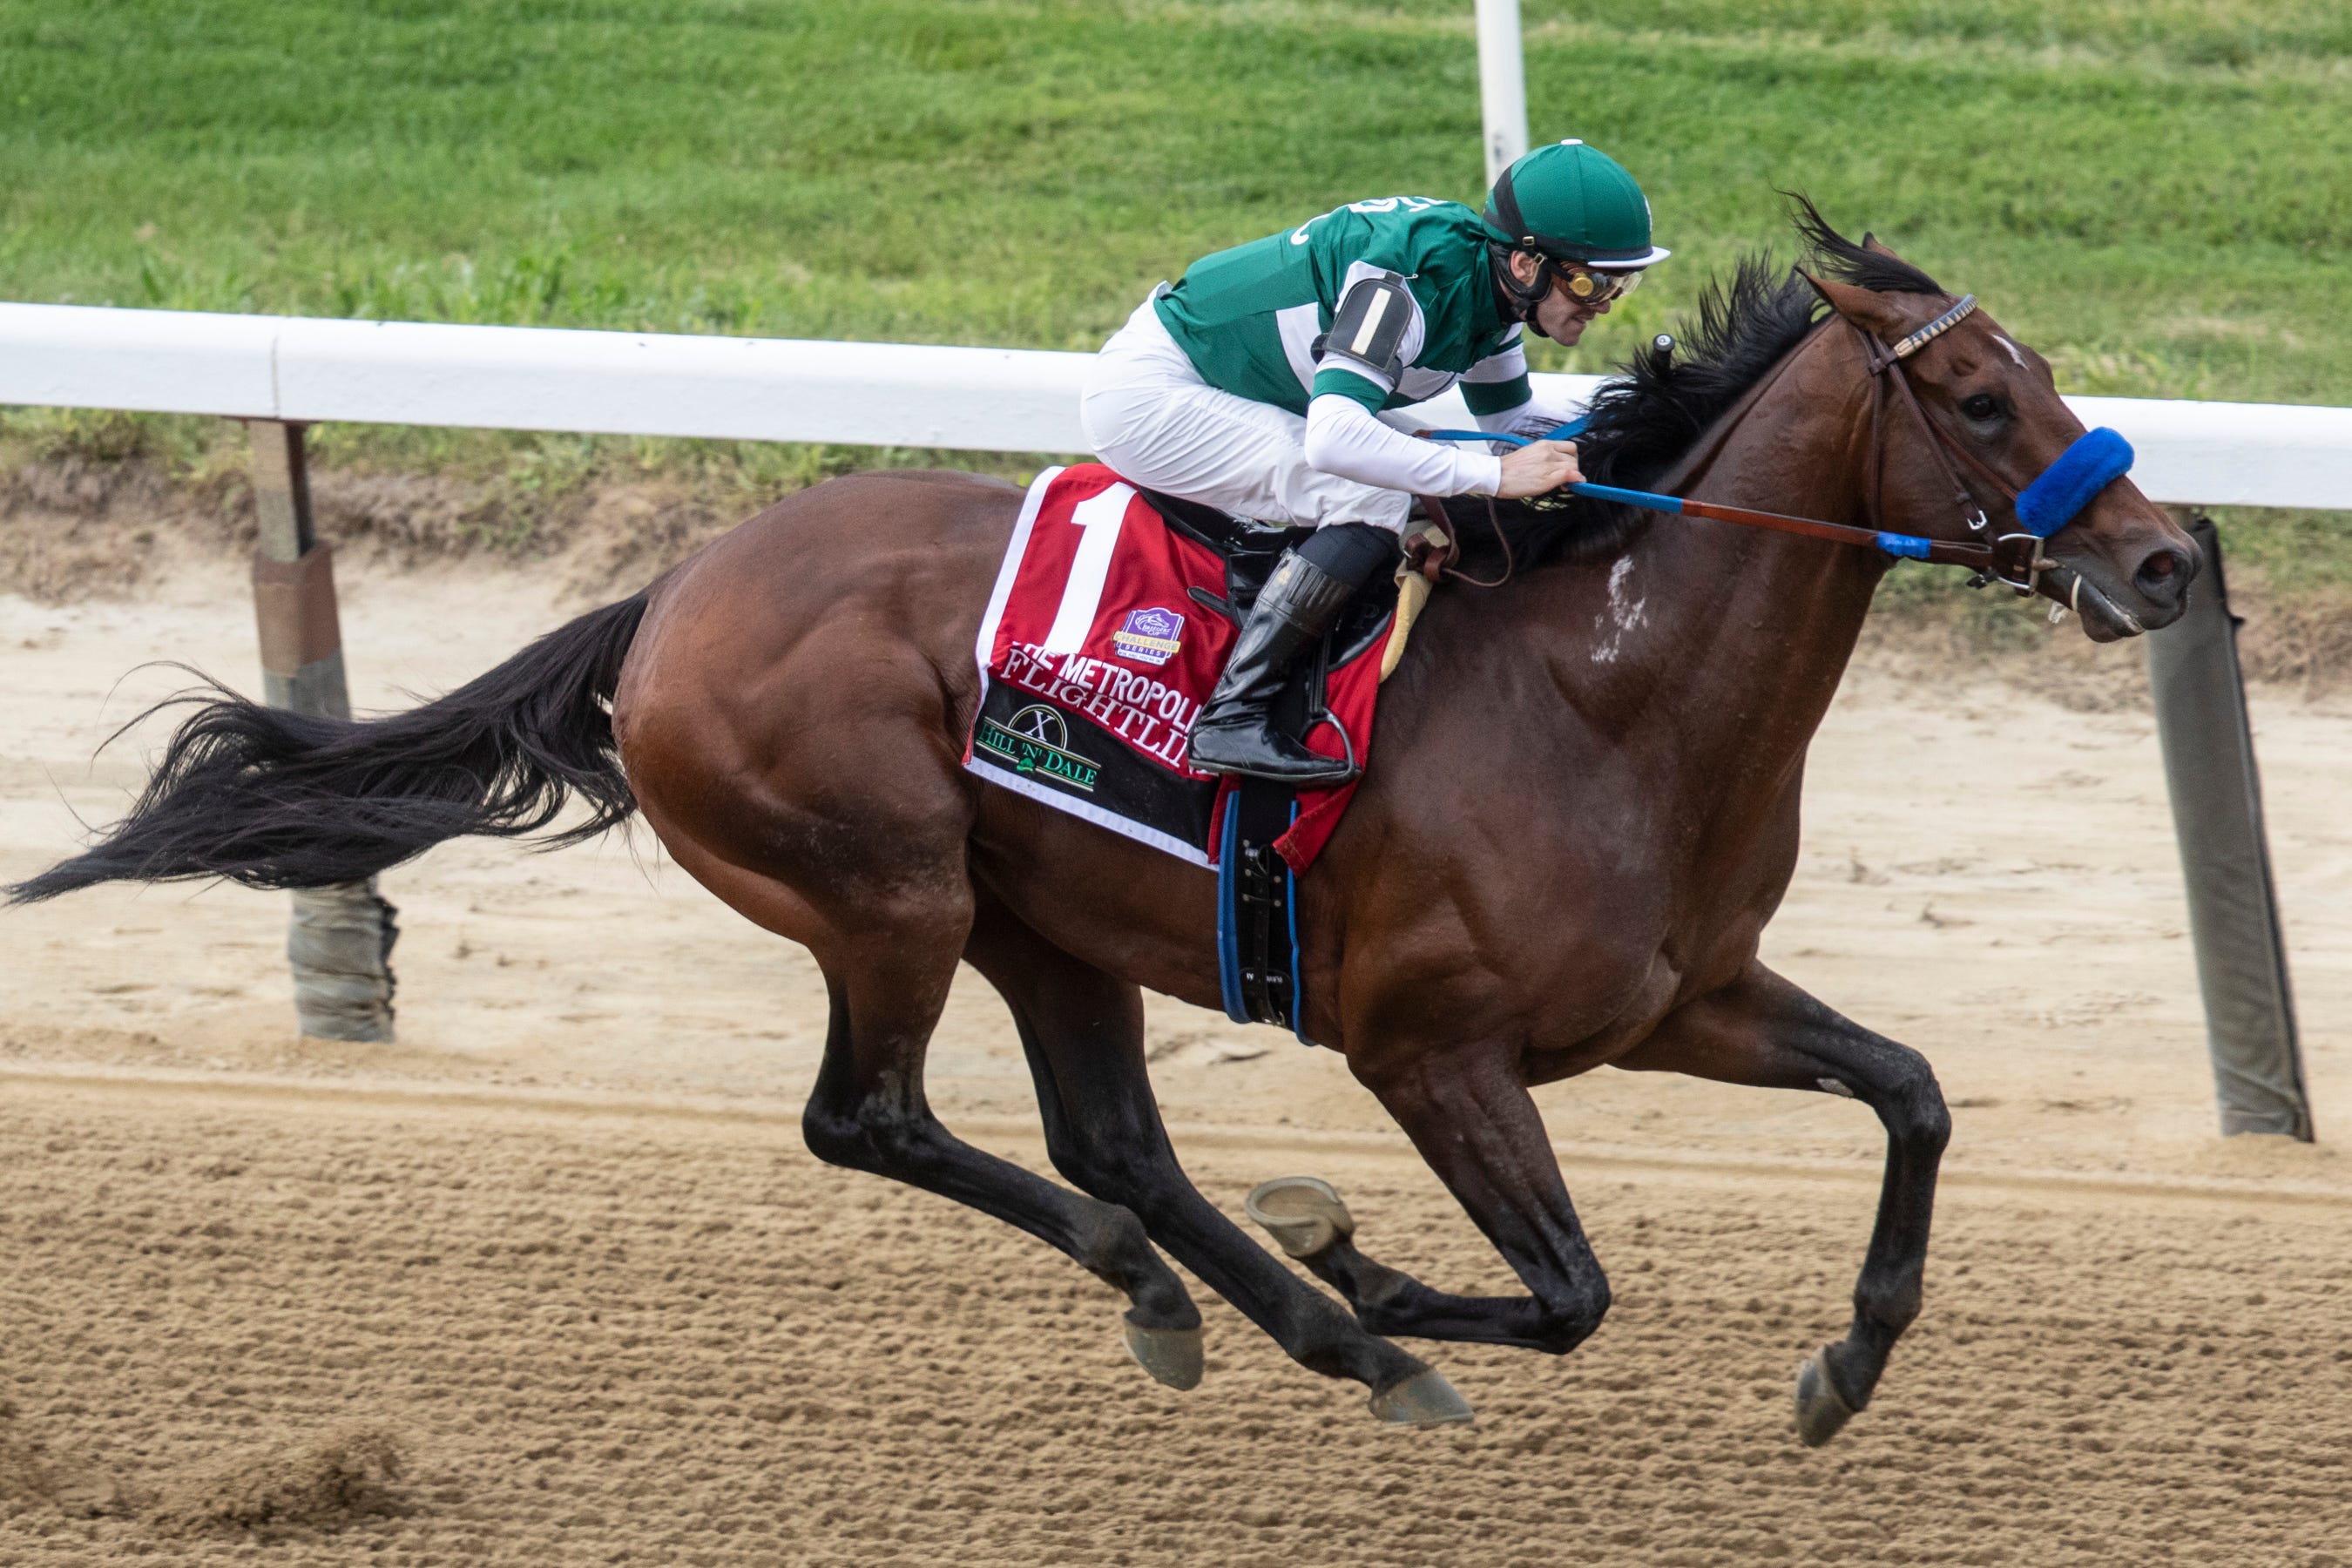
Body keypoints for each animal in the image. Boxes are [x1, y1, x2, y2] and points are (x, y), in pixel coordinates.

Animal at [9, 204, 2196, 1446]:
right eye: (1980, 402)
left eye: (2040, 375)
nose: (2166, 558)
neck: (1607, 688)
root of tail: (670, 597)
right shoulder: (1426, 1047)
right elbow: (1571, 1290)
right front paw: (1374, 1264)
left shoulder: (1682, 1000)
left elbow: (1912, 1095)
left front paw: (1845, 1369)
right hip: (884, 889)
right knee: (874, 1122)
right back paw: (1257, 1313)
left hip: (1042, 923)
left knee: (1112, 1143)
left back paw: (1297, 1333)